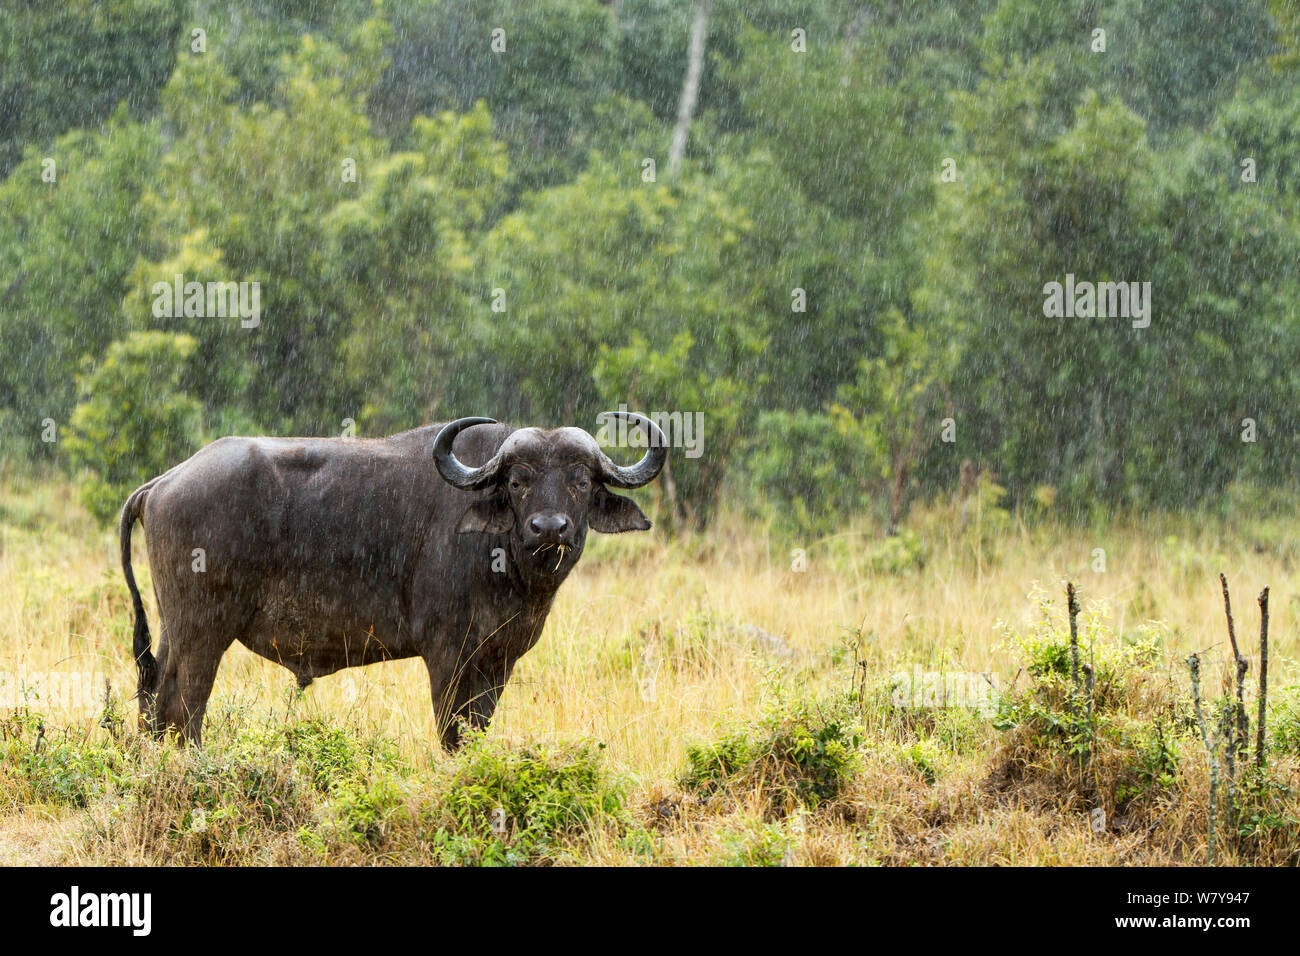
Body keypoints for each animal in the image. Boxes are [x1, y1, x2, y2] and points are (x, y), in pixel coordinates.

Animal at [119, 412, 667, 749]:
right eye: (517, 481)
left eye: (581, 480)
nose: (549, 528)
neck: (507, 563)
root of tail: (162, 482)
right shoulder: (447, 654)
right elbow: (452, 733)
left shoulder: (499, 660)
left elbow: (479, 728)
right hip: (202, 633)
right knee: (183, 707)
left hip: (174, 630)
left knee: (154, 701)